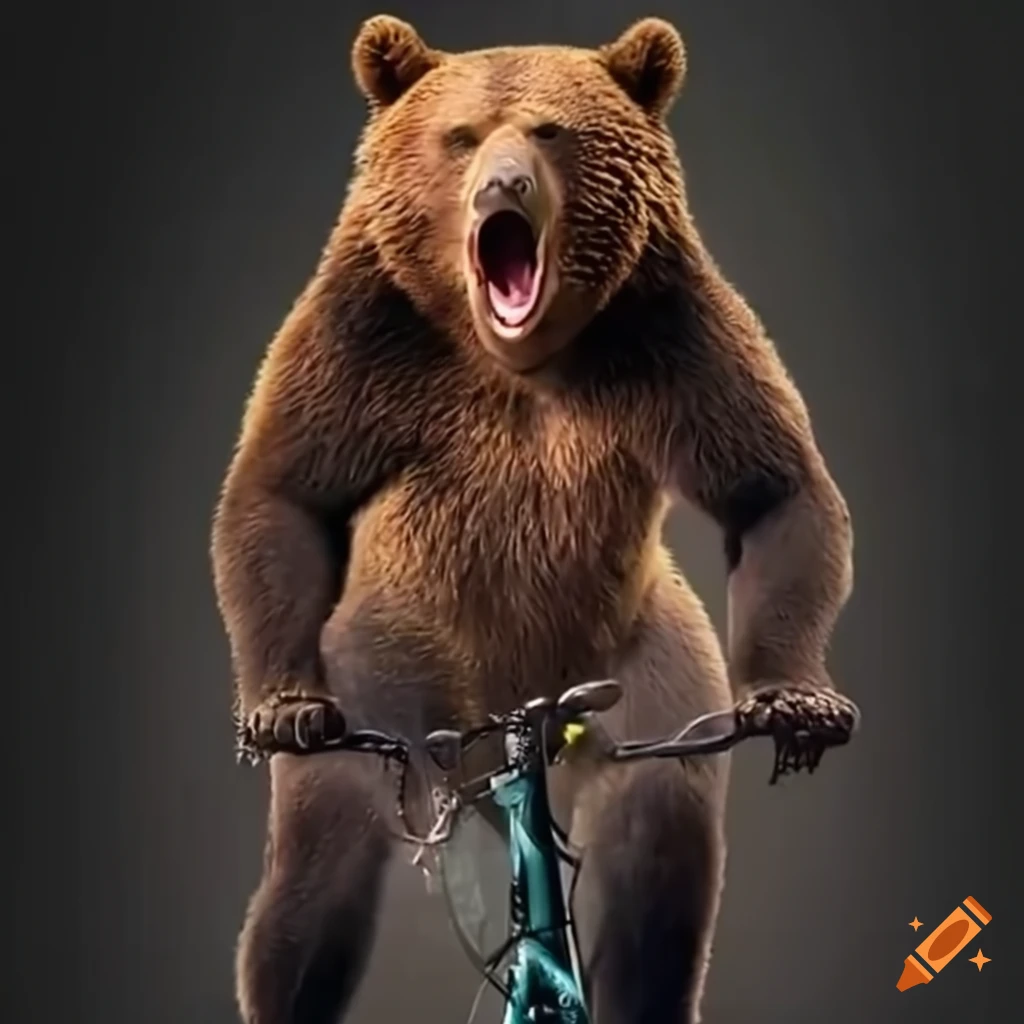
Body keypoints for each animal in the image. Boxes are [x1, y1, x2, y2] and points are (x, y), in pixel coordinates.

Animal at [210, 14, 855, 1024]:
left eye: (552, 130)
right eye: (462, 135)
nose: (503, 185)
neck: (512, 355)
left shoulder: (673, 329)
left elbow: (772, 488)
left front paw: (796, 698)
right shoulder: (364, 333)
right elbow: (285, 489)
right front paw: (280, 708)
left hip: (649, 668)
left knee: (660, 846)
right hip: (383, 674)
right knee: (316, 874)